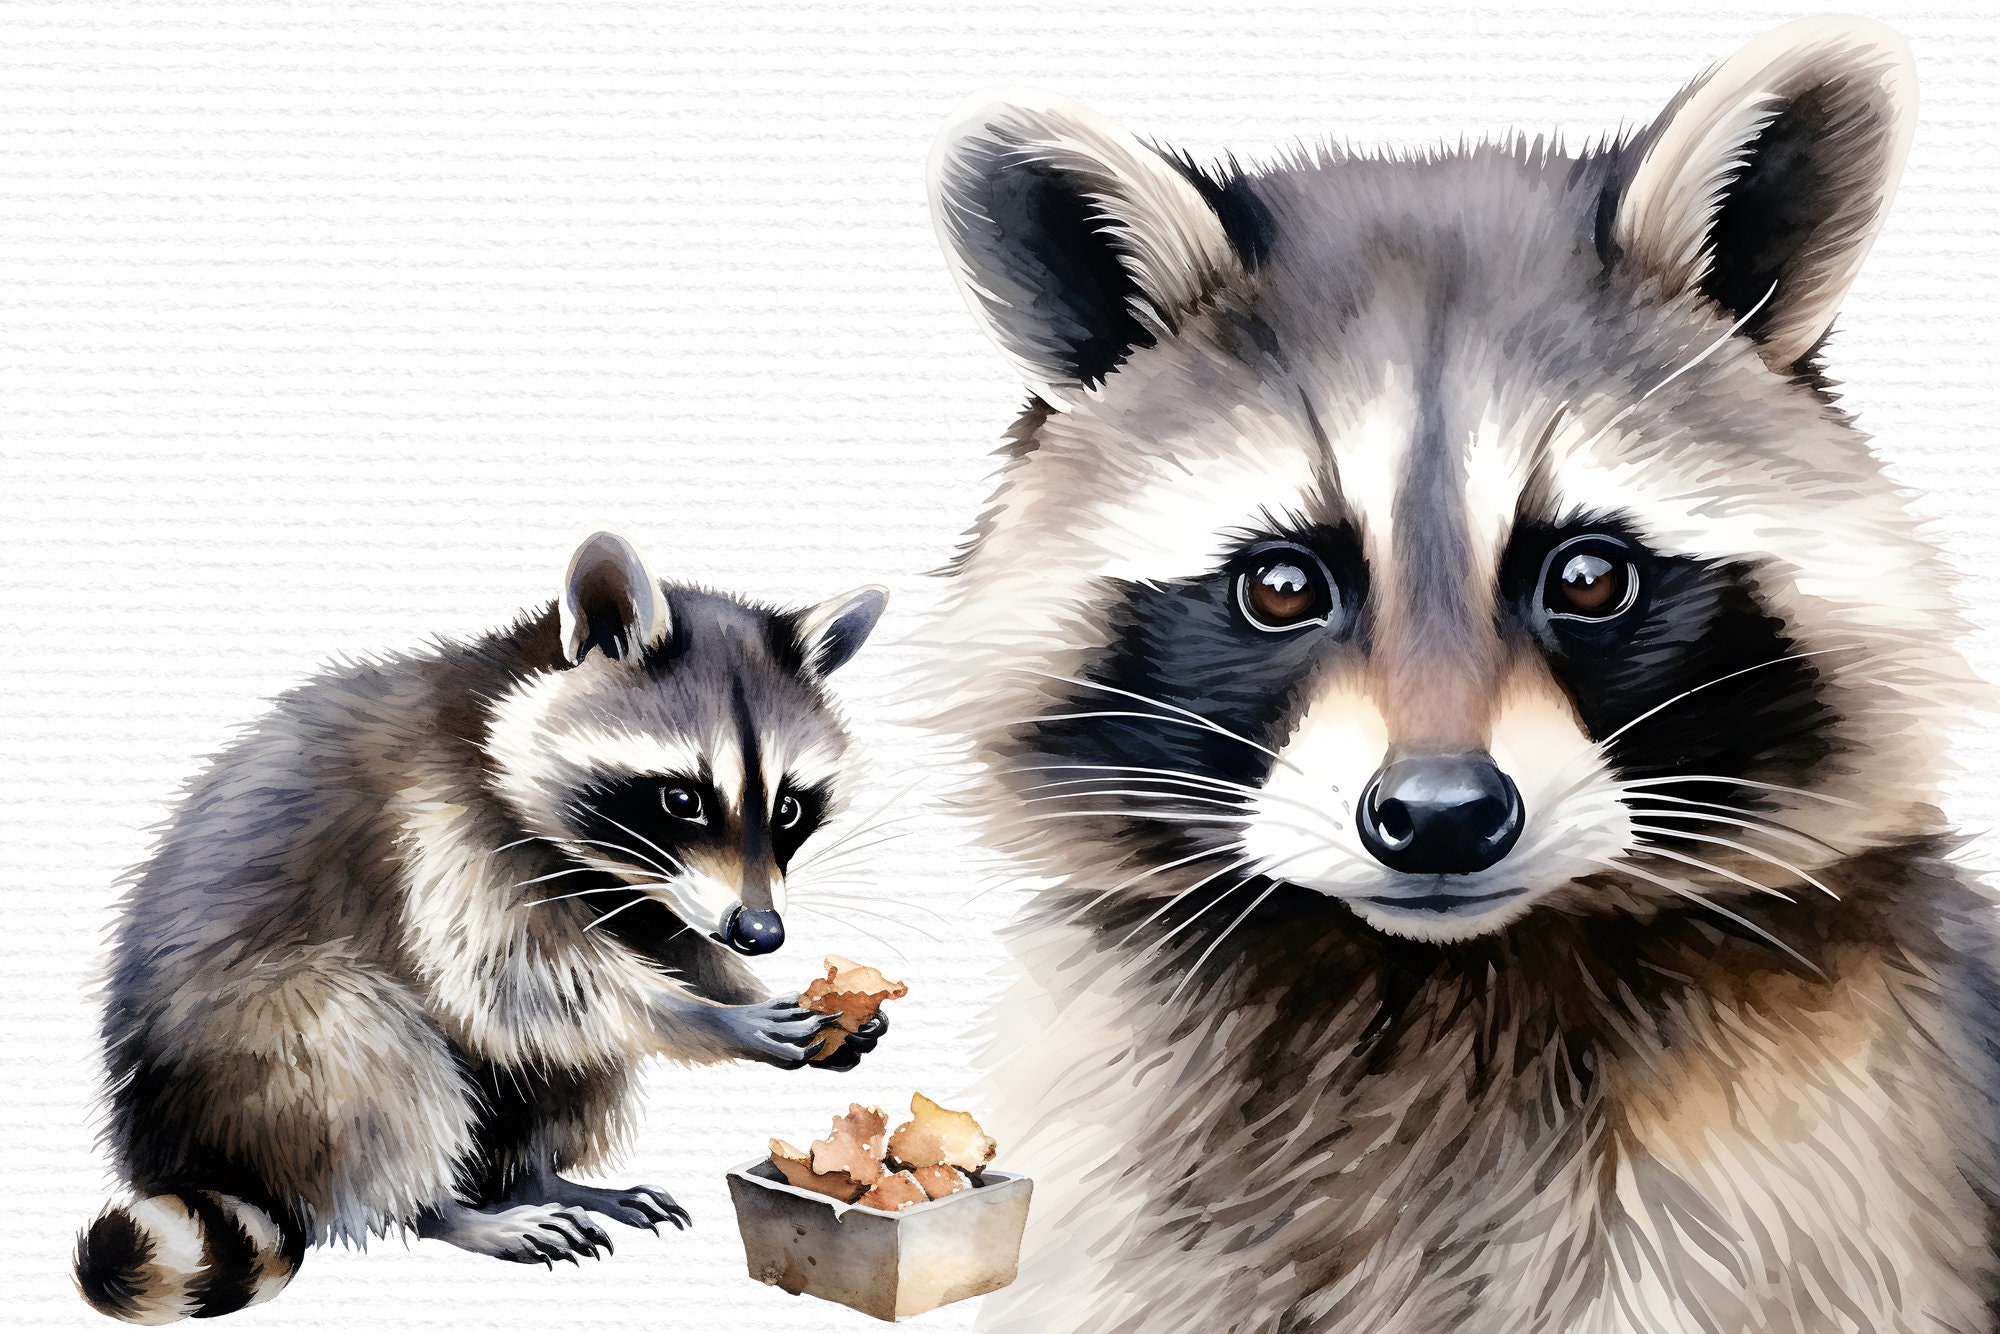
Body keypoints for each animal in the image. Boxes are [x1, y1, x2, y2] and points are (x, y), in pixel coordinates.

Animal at [74, 530, 890, 1323]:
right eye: (682, 799)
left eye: (789, 806)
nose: (761, 932)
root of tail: (167, 1150)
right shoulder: (440, 819)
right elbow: (513, 978)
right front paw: (708, 1016)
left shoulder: (642, 883)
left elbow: (666, 943)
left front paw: (752, 988)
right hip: (251, 1056)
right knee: (363, 1038)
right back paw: (442, 1208)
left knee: (561, 1065)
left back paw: (533, 1178)